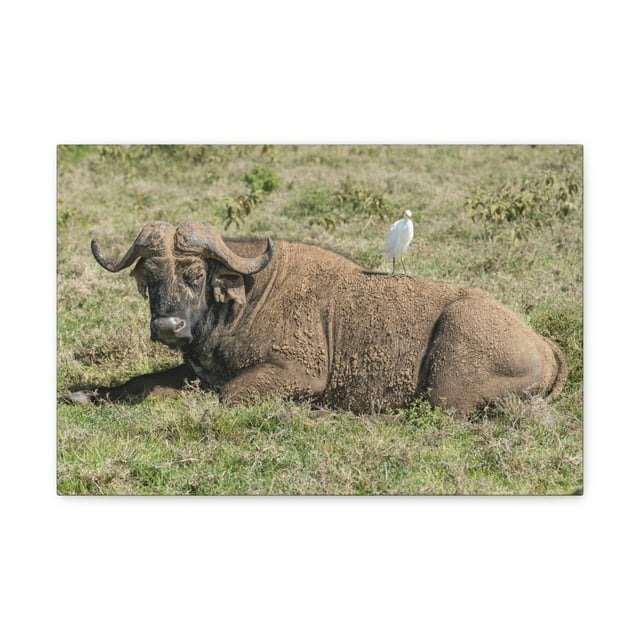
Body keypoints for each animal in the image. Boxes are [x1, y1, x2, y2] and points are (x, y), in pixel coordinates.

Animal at [64, 221, 568, 415]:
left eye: (194, 274)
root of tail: (545, 345)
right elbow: (138, 382)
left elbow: (228, 395)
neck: (248, 297)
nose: (168, 327)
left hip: (449, 373)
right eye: (150, 276)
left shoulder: (298, 374)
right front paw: (86, 393)